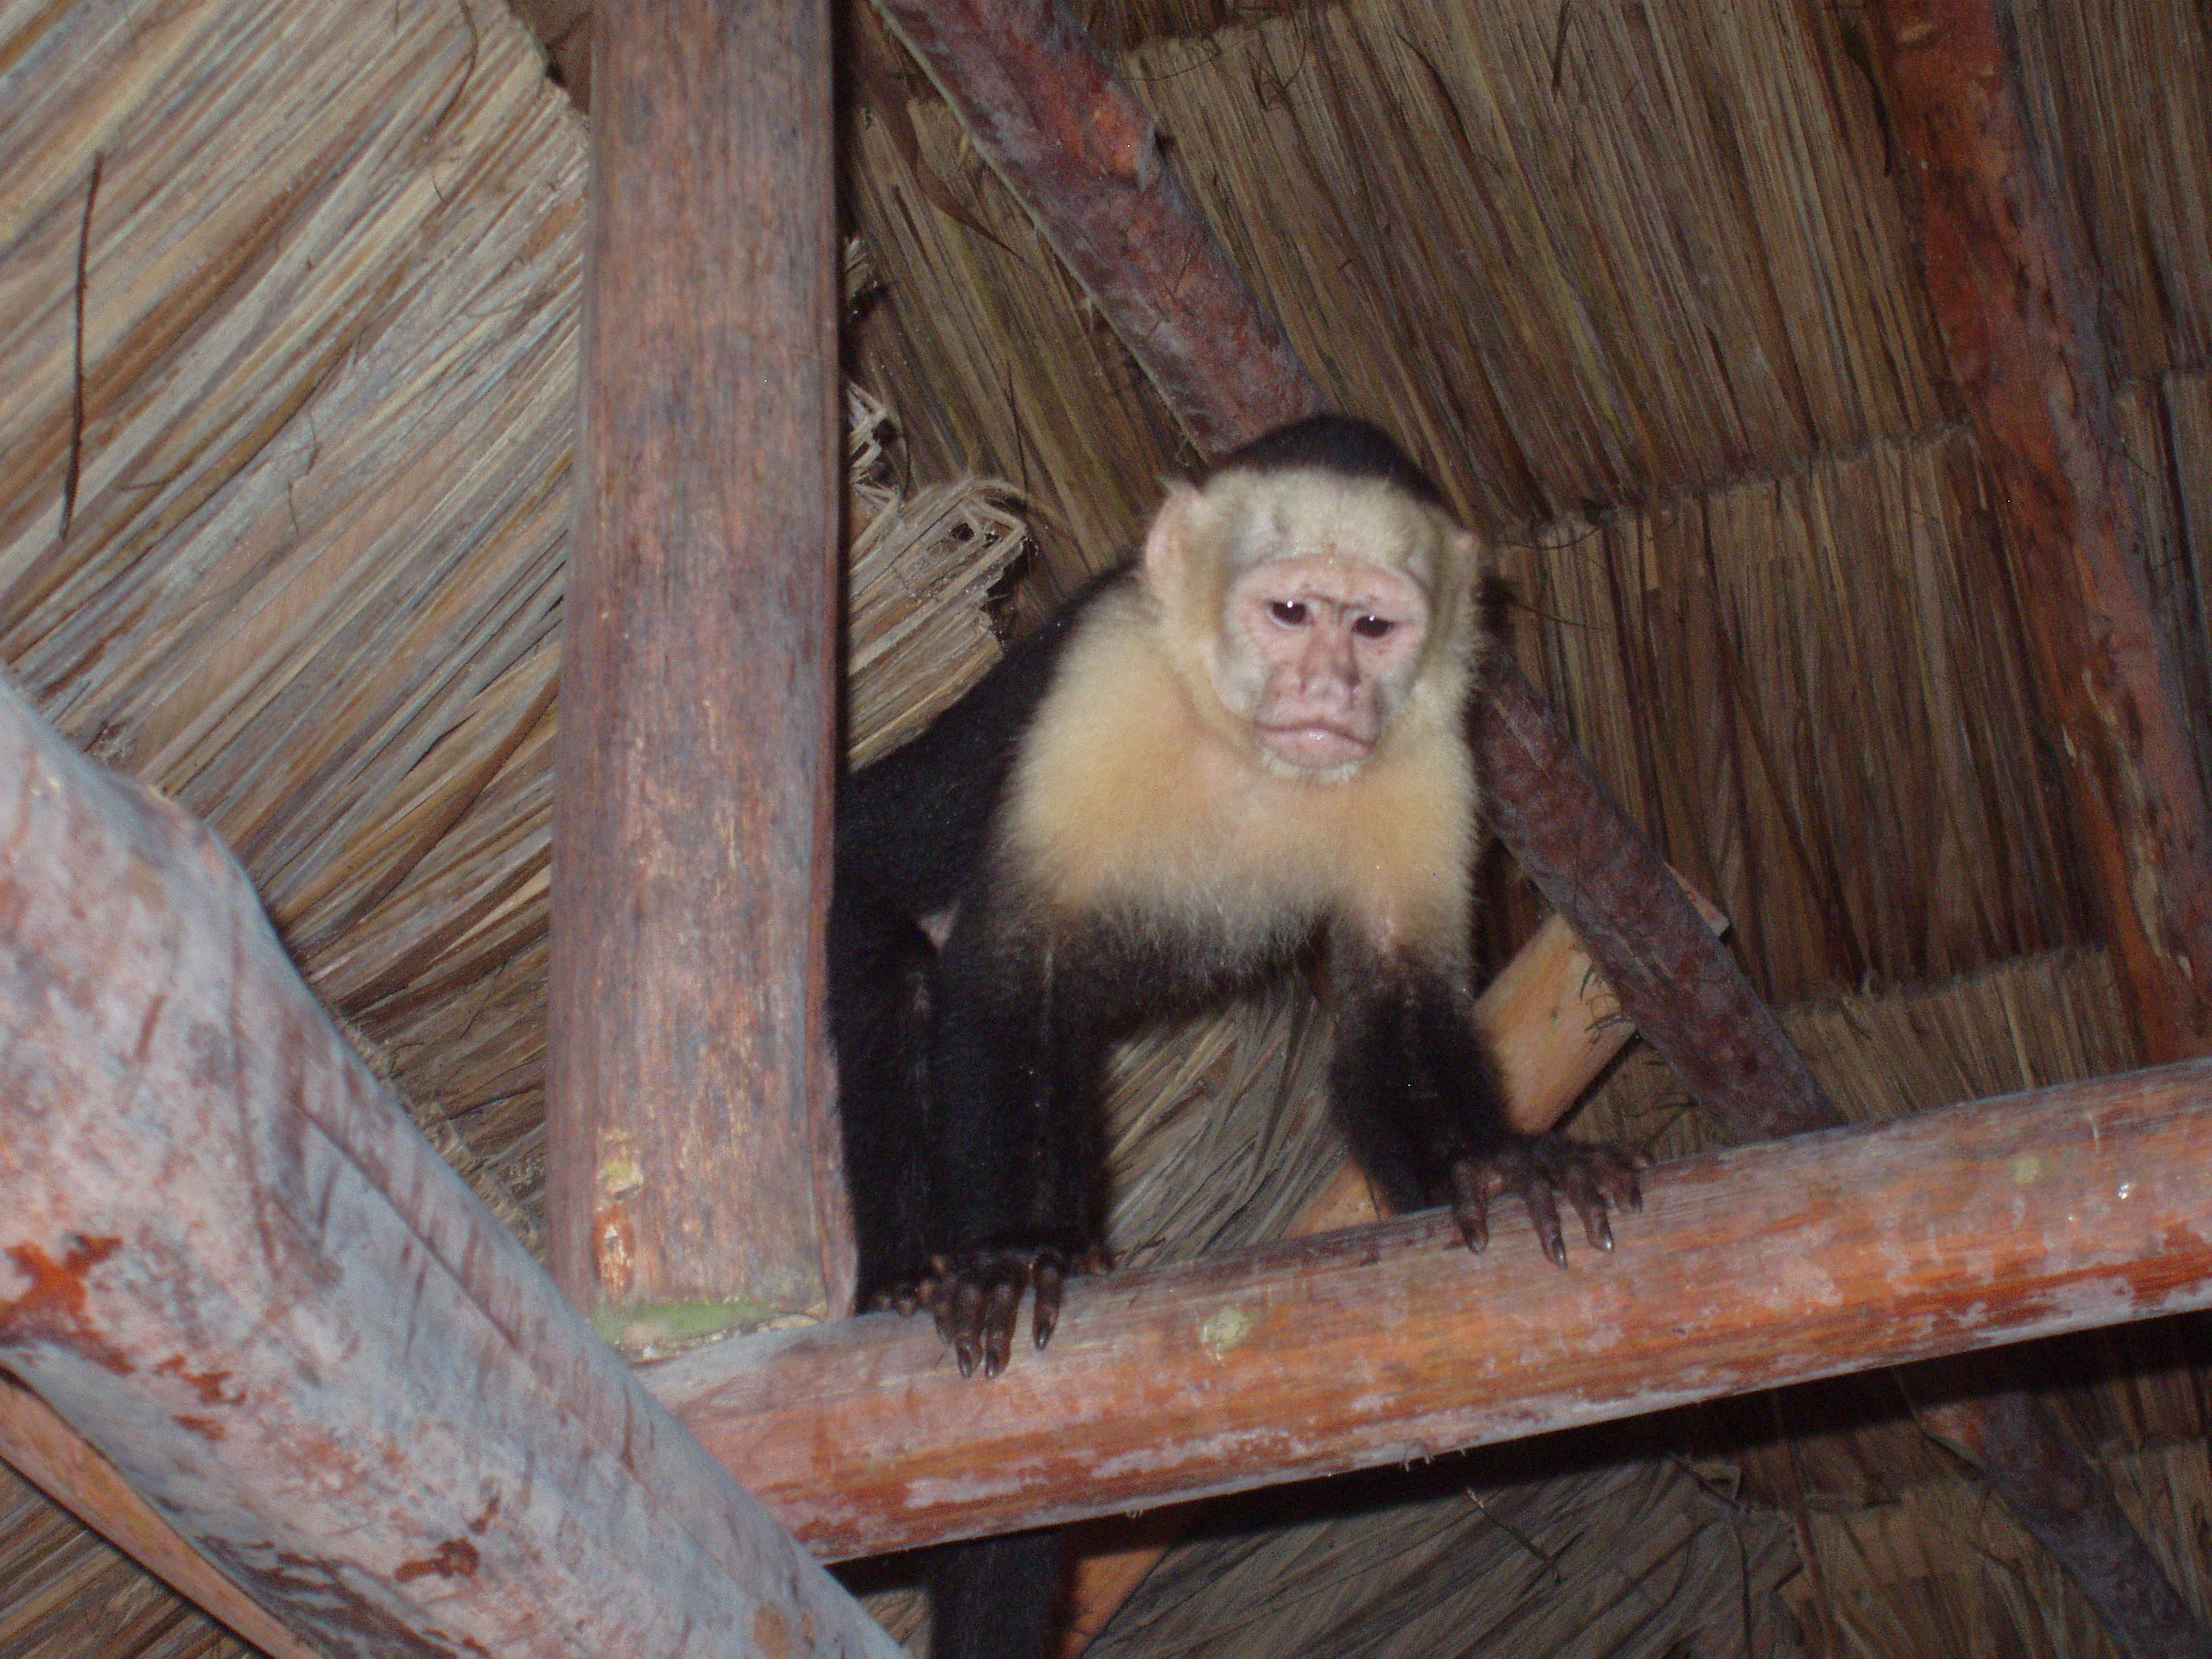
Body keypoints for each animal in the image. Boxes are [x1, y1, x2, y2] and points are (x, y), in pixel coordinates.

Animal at [828, 414, 1643, 1659]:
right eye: (1291, 612)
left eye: (1373, 627)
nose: (1328, 686)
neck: (1247, 754)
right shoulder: (1105, 674)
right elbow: (1009, 966)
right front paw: (1013, 1252)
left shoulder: (1429, 744)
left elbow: (1391, 1002)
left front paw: (1500, 1165)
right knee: (905, 967)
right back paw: (914, 1275)